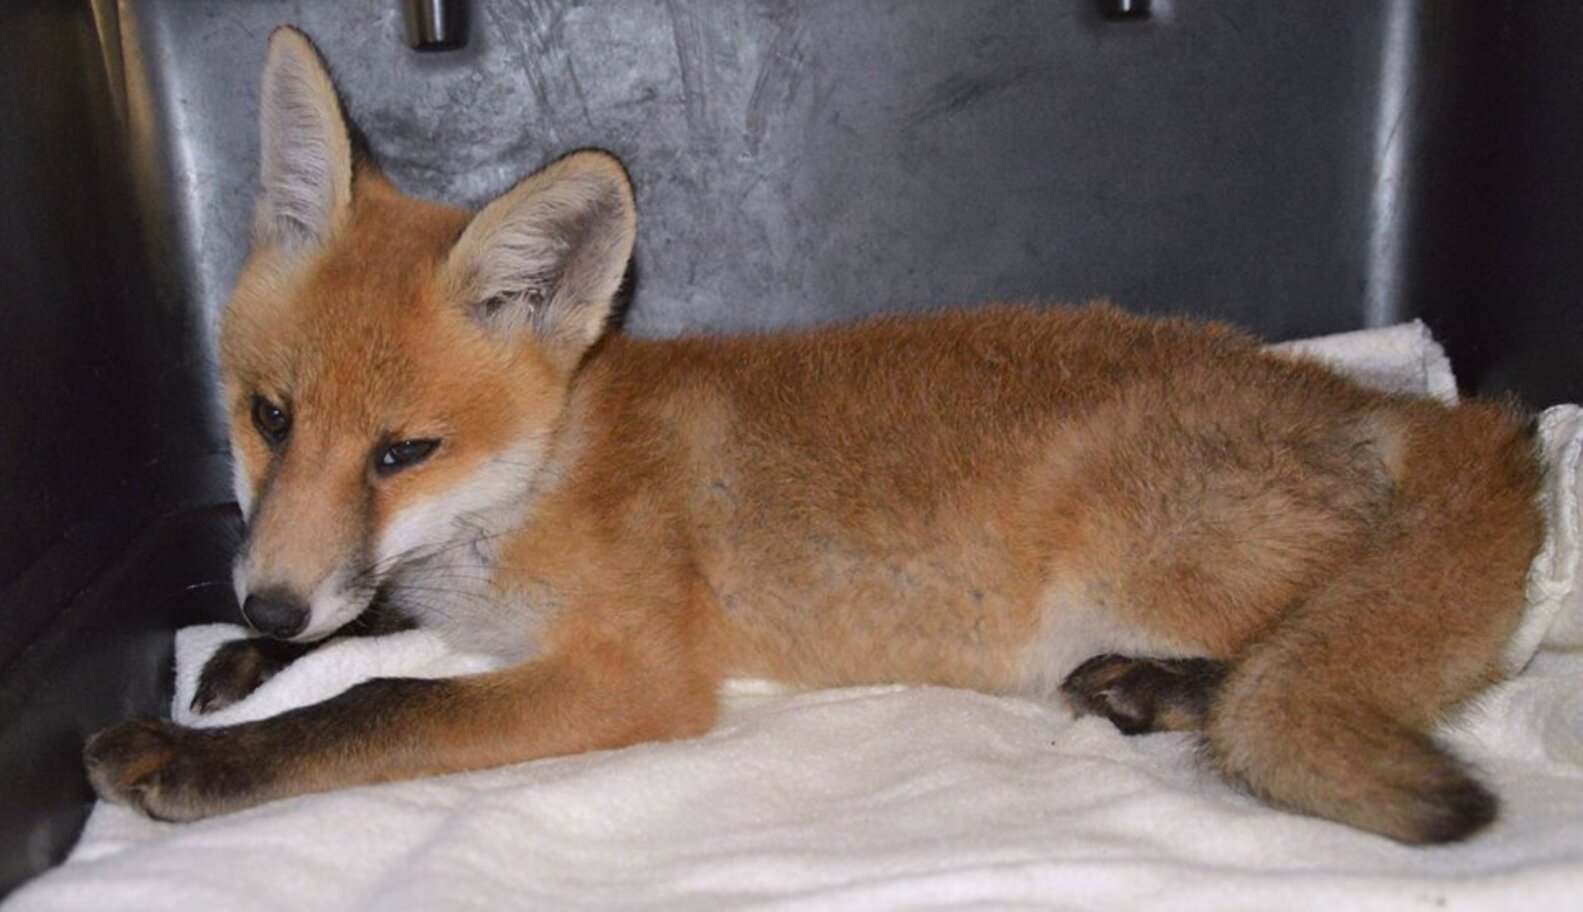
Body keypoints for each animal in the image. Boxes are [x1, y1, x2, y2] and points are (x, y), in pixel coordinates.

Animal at [84, 27, 1543, 846]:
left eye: (402, 452)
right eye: (270, 418)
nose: (262, 605)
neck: (543, 477)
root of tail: (1413, 409)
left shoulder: (631, 675)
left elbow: (377, 705)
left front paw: (197, 755)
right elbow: (368, 623)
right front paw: (245, 666)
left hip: (1140, 565)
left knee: (1305, 657)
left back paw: (1157, 688)